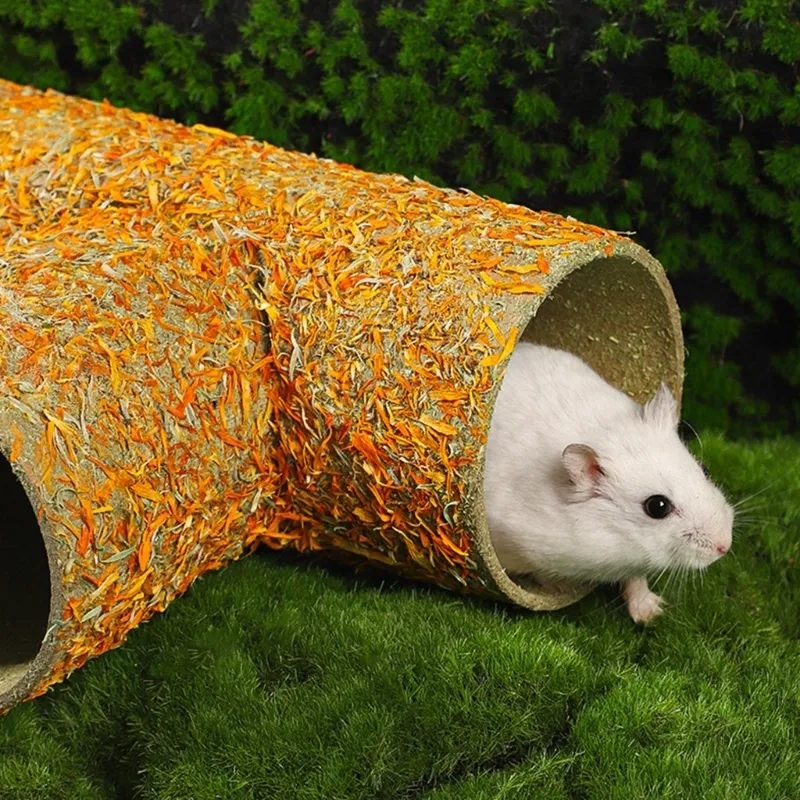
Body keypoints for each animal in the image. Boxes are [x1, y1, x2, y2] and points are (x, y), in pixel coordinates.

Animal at [483, 342, 734, 623]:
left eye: (705, 469)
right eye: (657, 506)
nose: (725, 546)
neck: (612, 536)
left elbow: (636, 577)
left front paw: (652, 614)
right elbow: (541, 573)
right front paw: (563, 588)